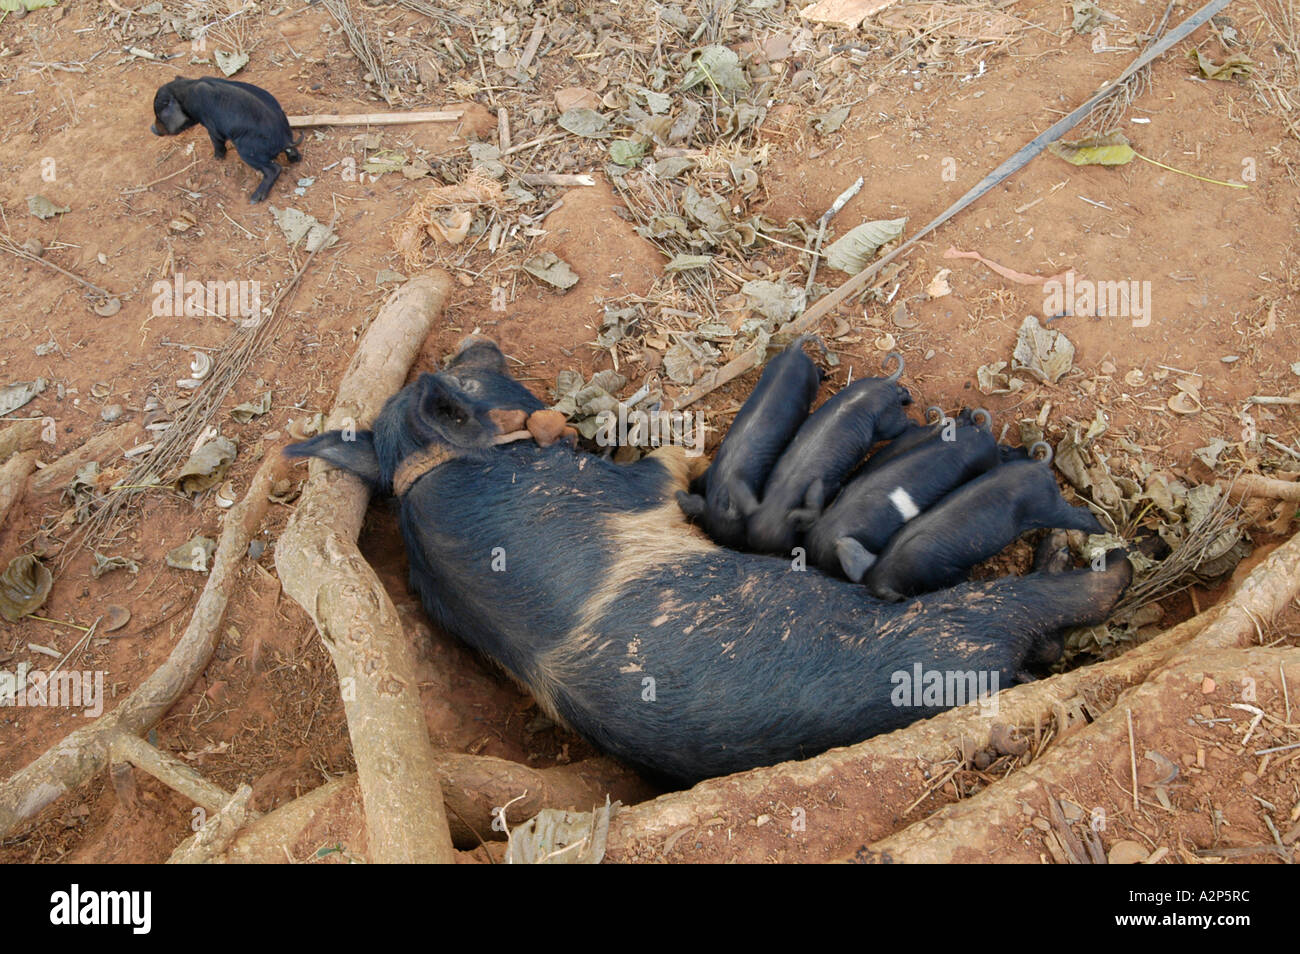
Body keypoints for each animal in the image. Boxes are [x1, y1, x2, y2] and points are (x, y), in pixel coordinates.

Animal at [150, 76, 302, 203]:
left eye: (158, 114)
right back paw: (294, 160)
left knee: (274, 168)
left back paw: (254, 198)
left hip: (248, 150)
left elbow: (217, 143)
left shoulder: (212, 126)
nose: (152, 129)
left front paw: (216, 158)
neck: (186, 94)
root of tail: (284, 139)